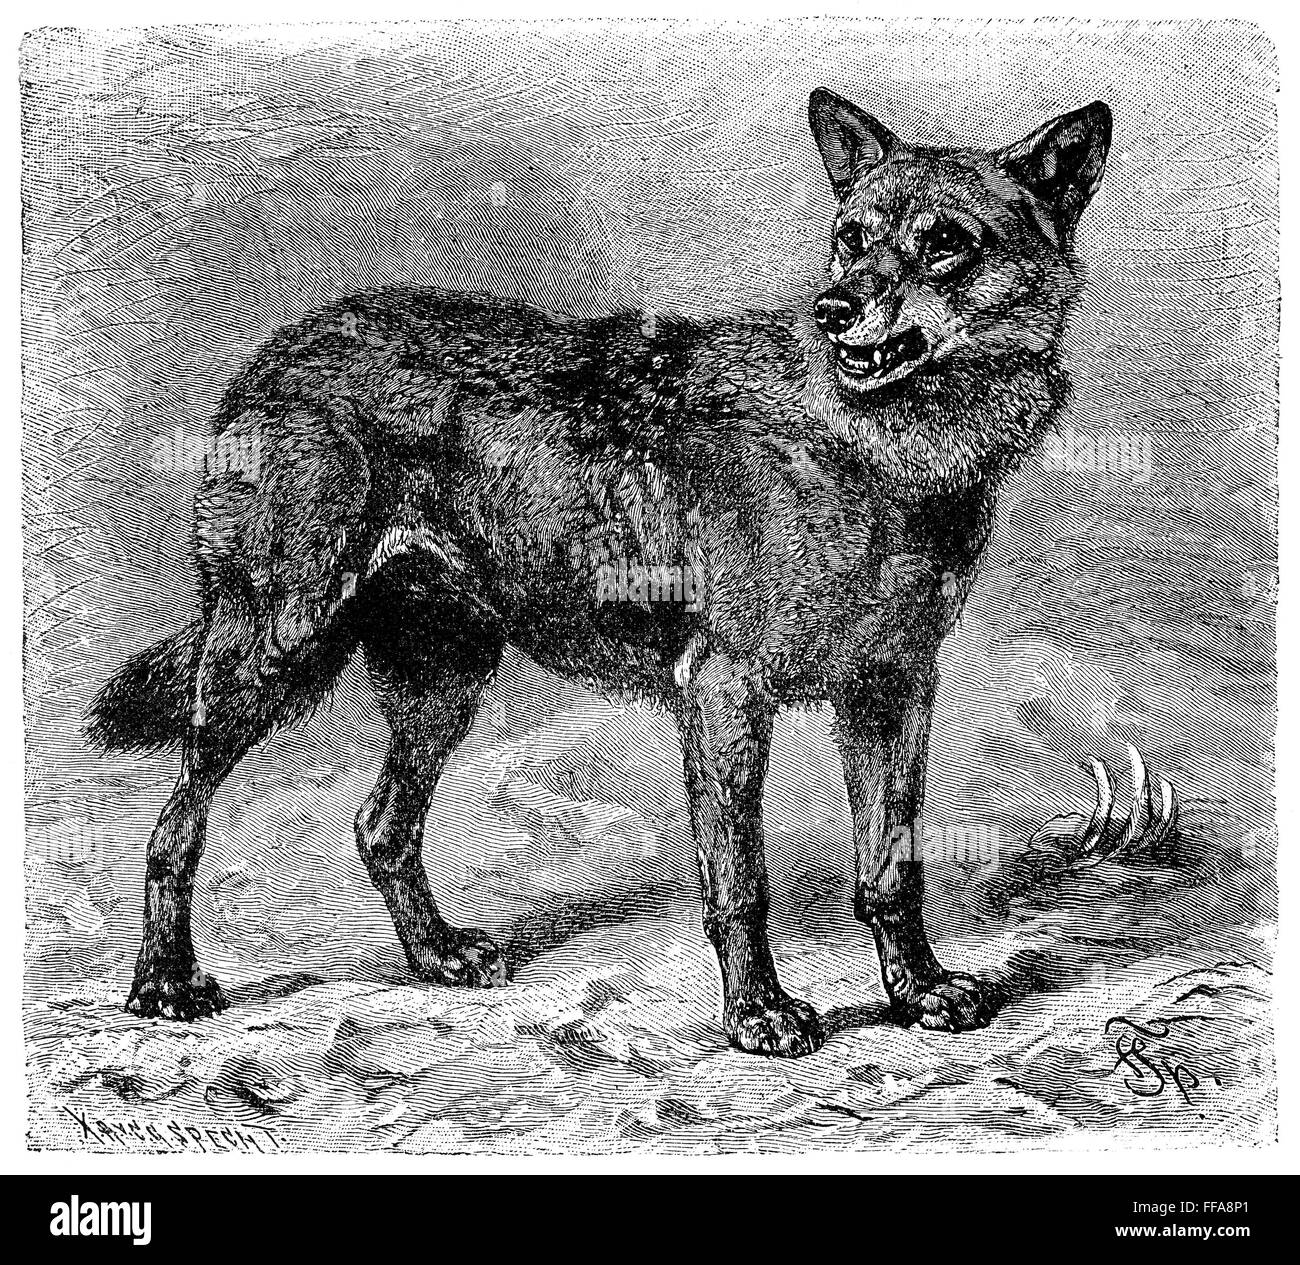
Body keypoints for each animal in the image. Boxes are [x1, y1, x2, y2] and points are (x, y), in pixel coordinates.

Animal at [88, 89, 1111, 1057]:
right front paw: (758, 1012)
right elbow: (741, 881)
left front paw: (918, 989)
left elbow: (892, 869)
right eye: (851, 238)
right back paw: (165, 981)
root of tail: (280, 350)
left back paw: (437, 955)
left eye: (946, 245)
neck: (866, 446)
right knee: (174, 825)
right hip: (272, 650)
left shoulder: (892, 692)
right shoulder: (725, 693)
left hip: (441, 679)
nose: (835, 311)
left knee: (381, 826)